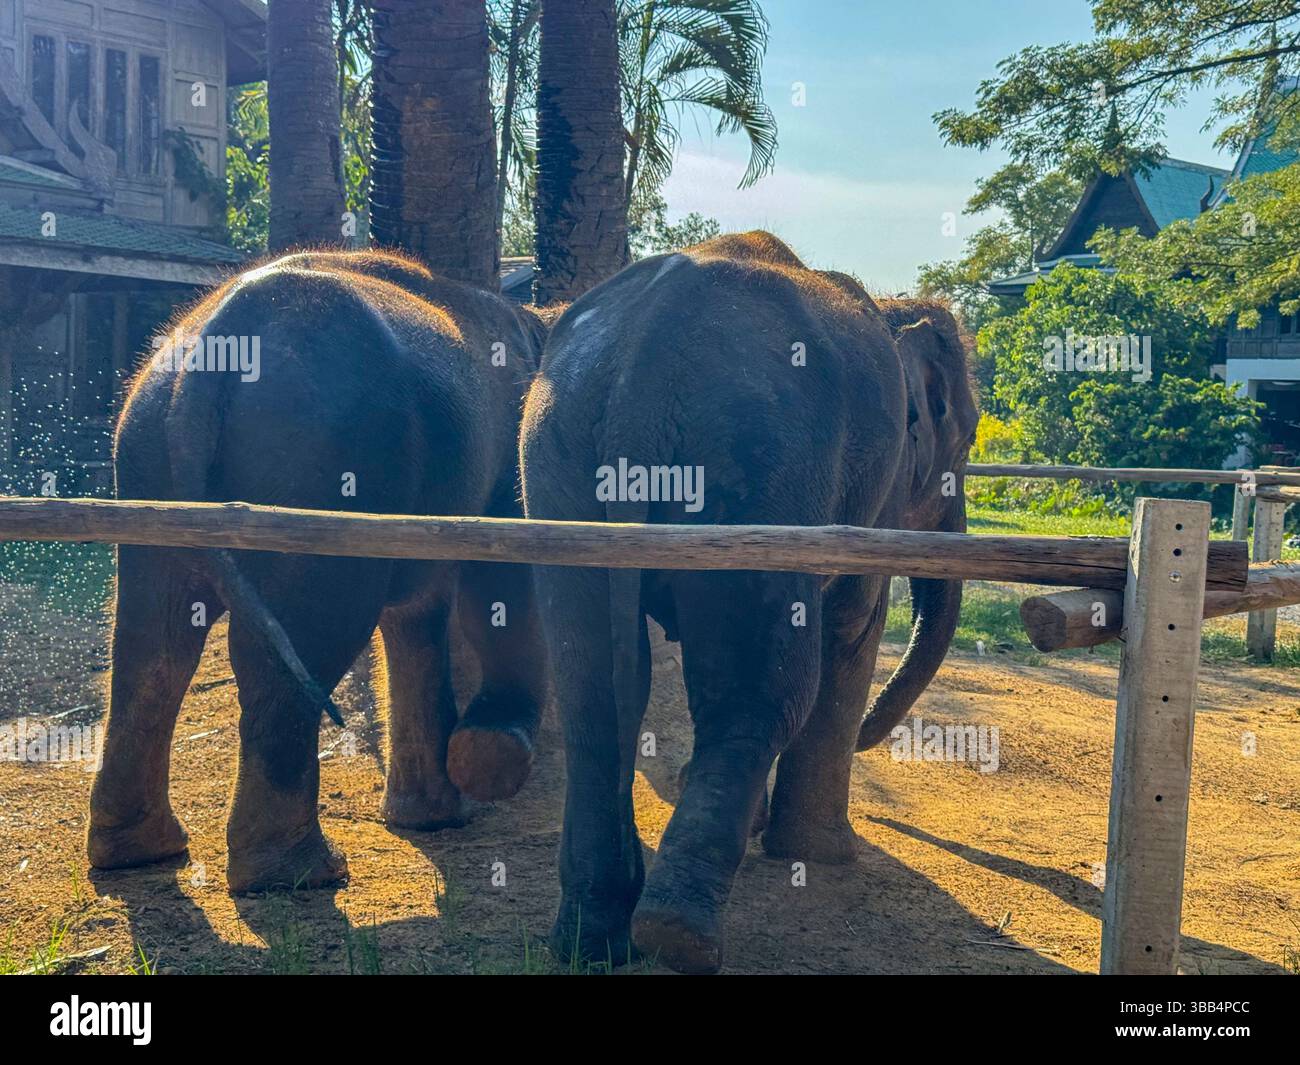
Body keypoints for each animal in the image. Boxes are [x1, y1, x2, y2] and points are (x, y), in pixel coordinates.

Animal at [88, 249, 549, 893]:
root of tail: (215, 338)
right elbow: (503, 582)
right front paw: (489, 758)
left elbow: (420, 611)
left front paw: (435, 816)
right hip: (323, 469)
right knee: (295, 645)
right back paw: (301, 874)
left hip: (144, 461)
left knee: (151, 642)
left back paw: (141, 852)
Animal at [519, 231, 977, 973]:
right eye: (964, 442)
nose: (877, 735)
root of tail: (642, 358)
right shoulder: (868, 497)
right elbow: (854, 624)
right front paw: (823, 855)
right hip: (756, 465)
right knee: (764, 694)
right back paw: (678, 937)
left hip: (560, 463)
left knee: (597, 693)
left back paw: (594, 942)